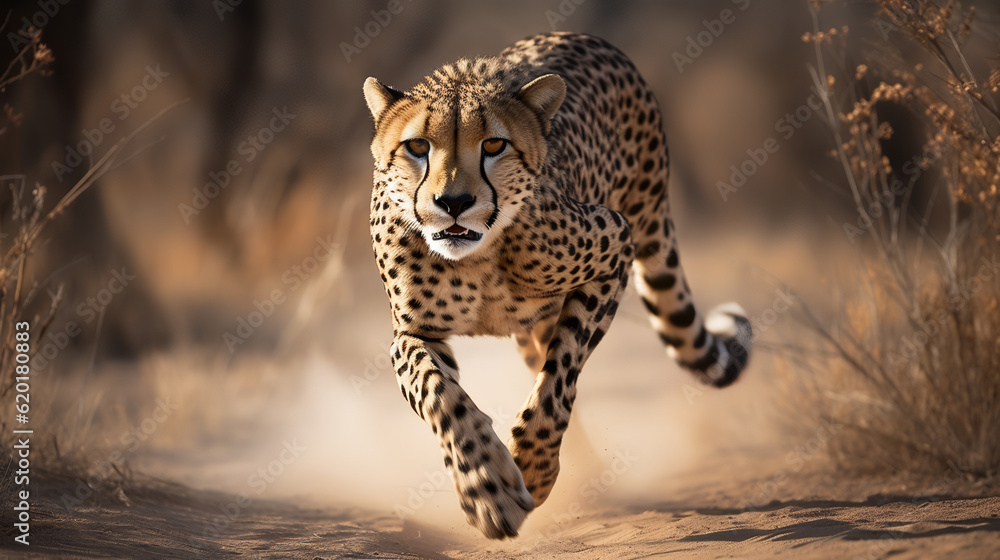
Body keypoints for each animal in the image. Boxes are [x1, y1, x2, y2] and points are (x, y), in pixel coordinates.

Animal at [363, 32, 752, 539]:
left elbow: (560, 377)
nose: (453, 202)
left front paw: (534, 468)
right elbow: (440, 395)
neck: (478, 258)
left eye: (494, 145)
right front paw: (489, 488)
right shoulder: (415, 331)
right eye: (416, 146)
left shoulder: (614, 248)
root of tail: (587, 38)